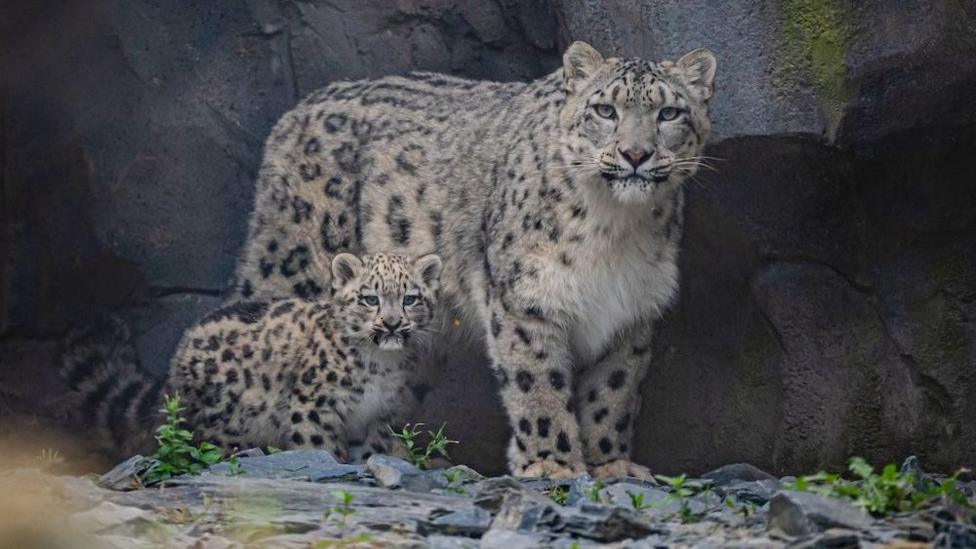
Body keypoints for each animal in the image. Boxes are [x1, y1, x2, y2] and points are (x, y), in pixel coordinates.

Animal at [60, 252, 443, 463]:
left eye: (409, 298)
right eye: (370, 299)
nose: (391, 323)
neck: (381, 365)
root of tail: (175, 366)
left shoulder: (376, 417)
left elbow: (371, 451)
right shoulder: (314, 408)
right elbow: (319, 447)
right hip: (225, 427)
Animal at [231, 41, 717, 479]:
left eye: (669, 113)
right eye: (604, 110)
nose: (636, 154)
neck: (614, 229)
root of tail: (295, 112)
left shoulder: (632, 310)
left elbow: (613, 392)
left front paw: (610, 465)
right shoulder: (526, 300)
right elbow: (538, 385)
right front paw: (552, 465)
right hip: (300, 266)